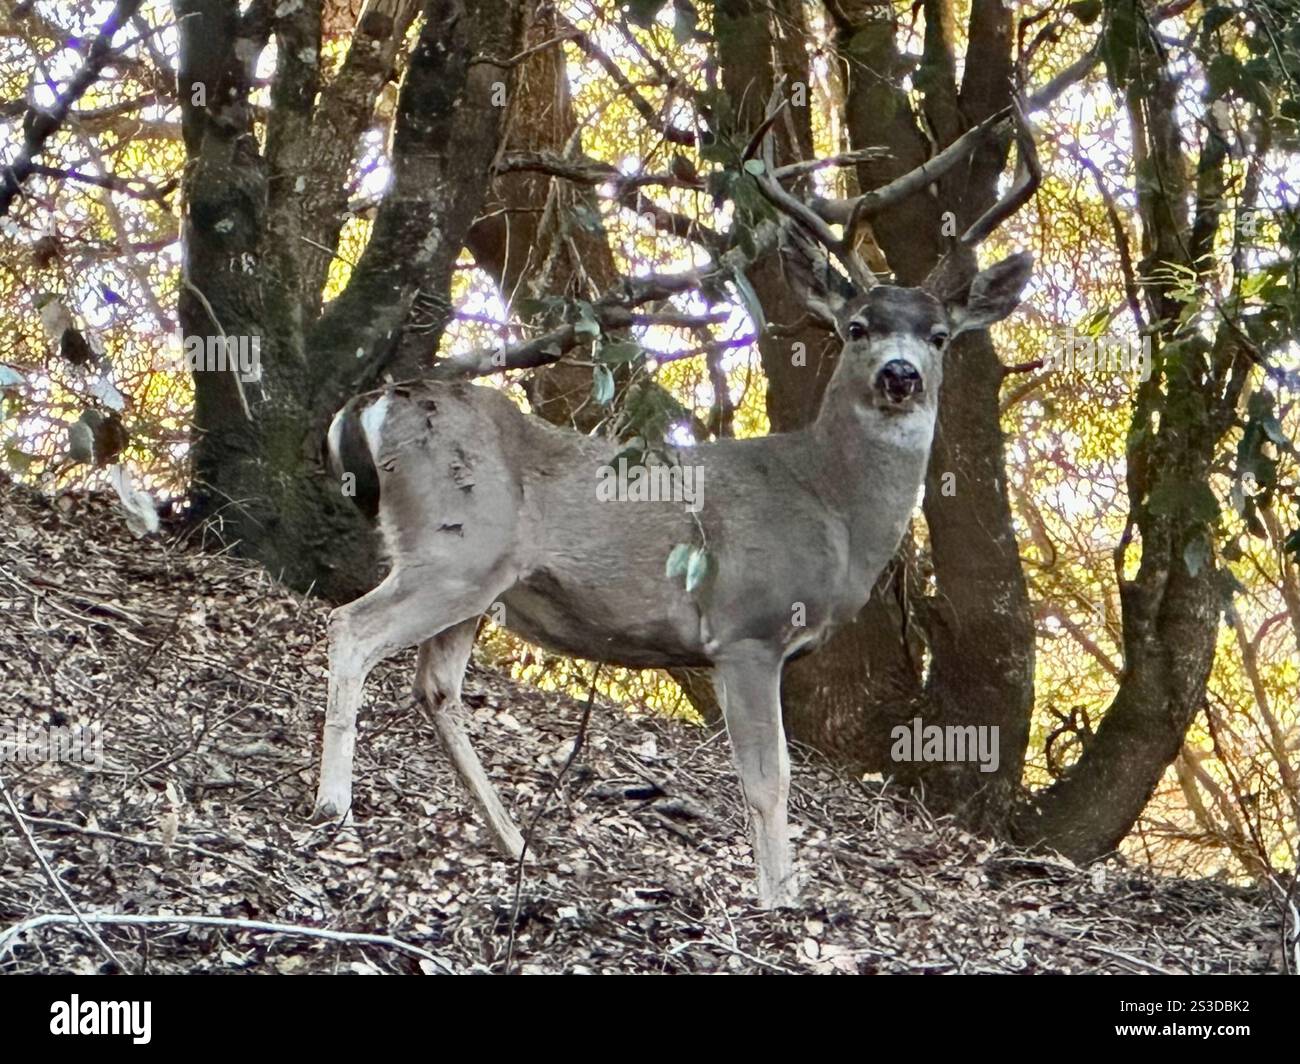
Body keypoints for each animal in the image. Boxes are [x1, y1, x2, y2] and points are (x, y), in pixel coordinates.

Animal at [312, 102, 1039, 908]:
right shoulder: (746, 626)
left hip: (480, 577)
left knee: (435, 685)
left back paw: (513, 842)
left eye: (939, 335)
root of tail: (374, 405)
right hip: (453, 548)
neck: (830, 505)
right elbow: (769, 780)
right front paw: (777, 902)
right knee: (351, 628)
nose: (900, 375)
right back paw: (334, 808)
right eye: (858, 328)